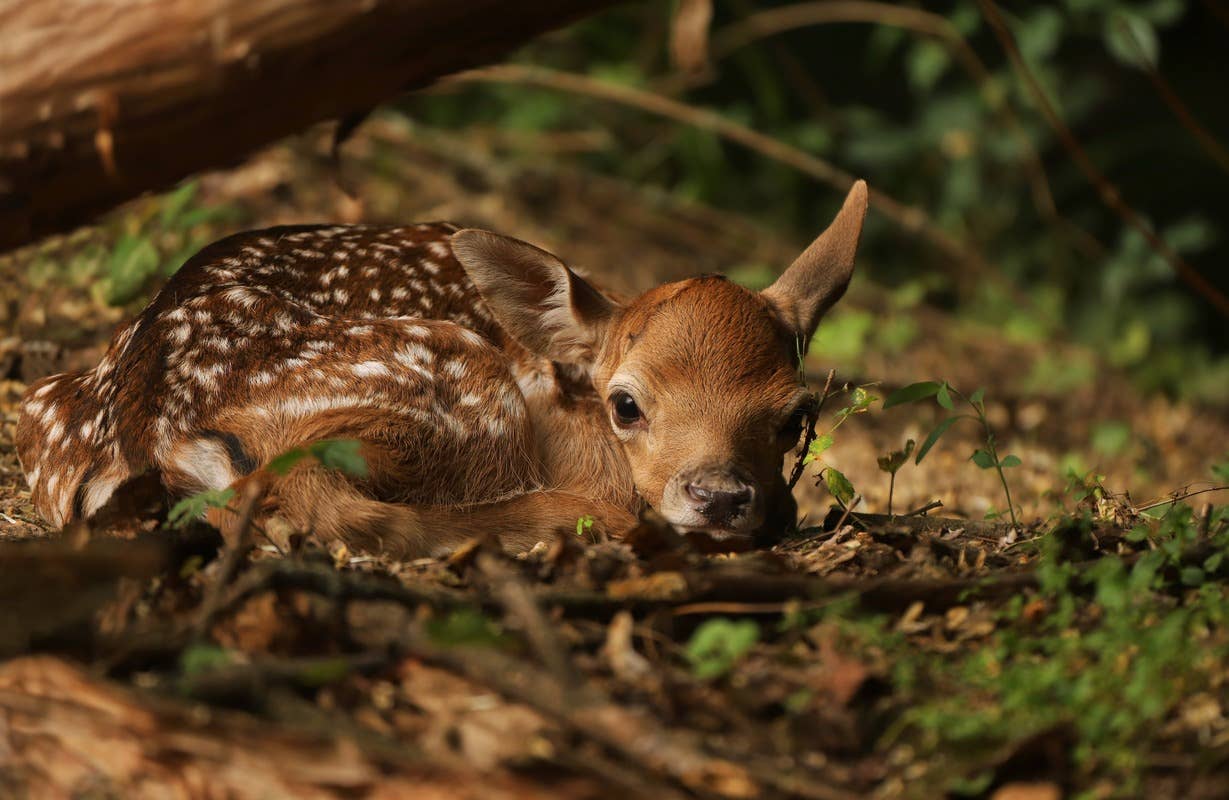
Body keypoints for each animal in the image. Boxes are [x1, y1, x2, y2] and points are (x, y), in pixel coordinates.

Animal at [16, 181, 868, 556]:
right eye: (625, 403)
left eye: (795, 416)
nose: (719, 497)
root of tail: (151, 434)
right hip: (455, 385)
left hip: (39, 403)